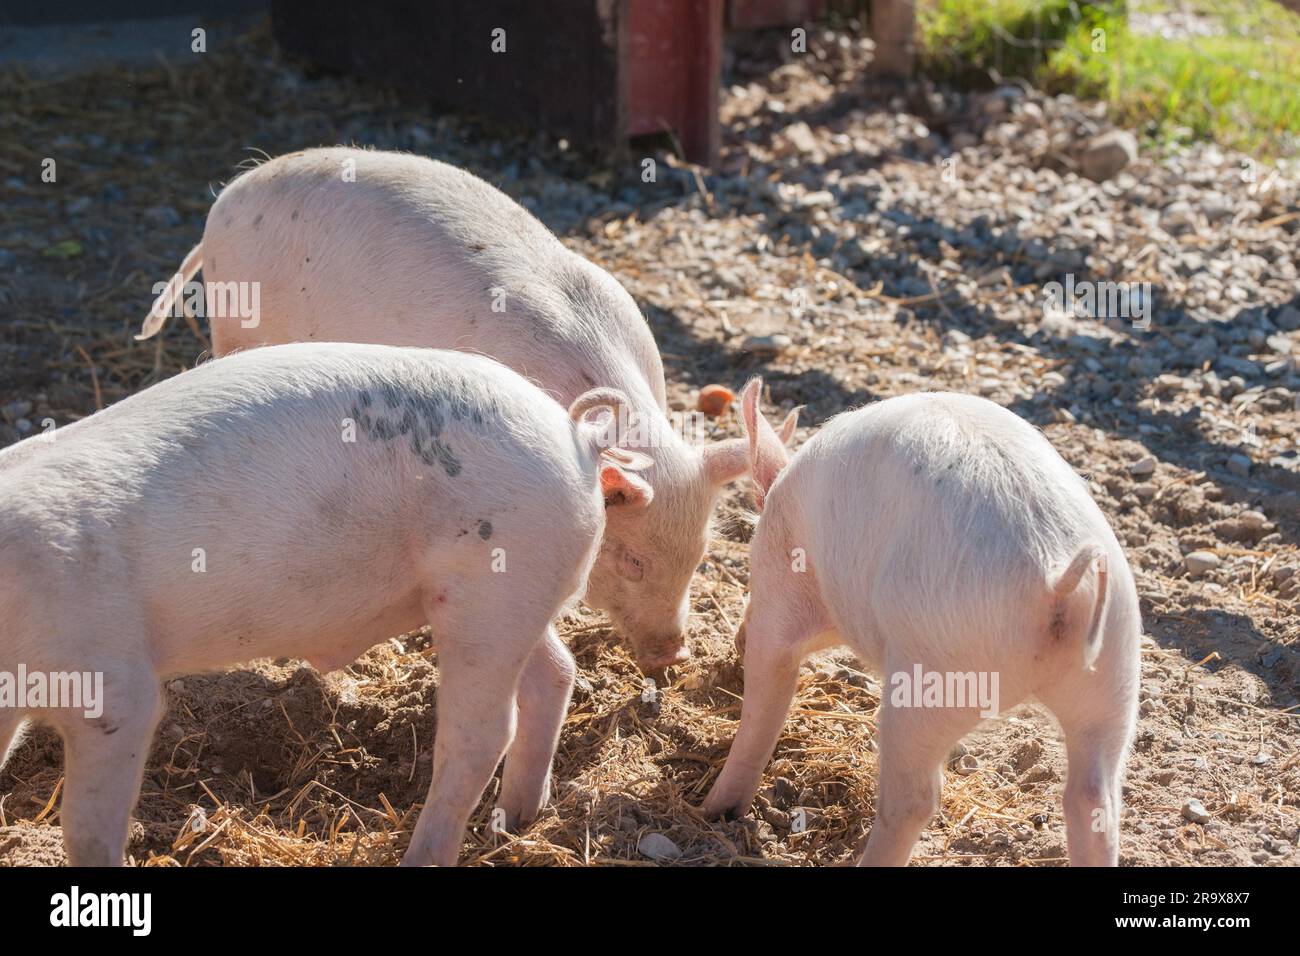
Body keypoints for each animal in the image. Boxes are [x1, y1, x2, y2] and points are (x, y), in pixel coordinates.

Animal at [0, 342, 653, 866]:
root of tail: (578, 438)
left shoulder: (111, 681)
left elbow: (88, 824)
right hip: (515, 595)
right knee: (554, 672)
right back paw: (515, 820)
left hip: (493, 589)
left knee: (481, 733)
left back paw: (429, 853)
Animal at [702, 381, 1140, 866]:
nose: (737, 641)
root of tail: (1058, 575)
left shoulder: (781, 592)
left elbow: (767, 694)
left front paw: (715, 812)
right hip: (1115, 669)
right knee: (1095, 800)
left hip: (933, 676)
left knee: (914, 798)